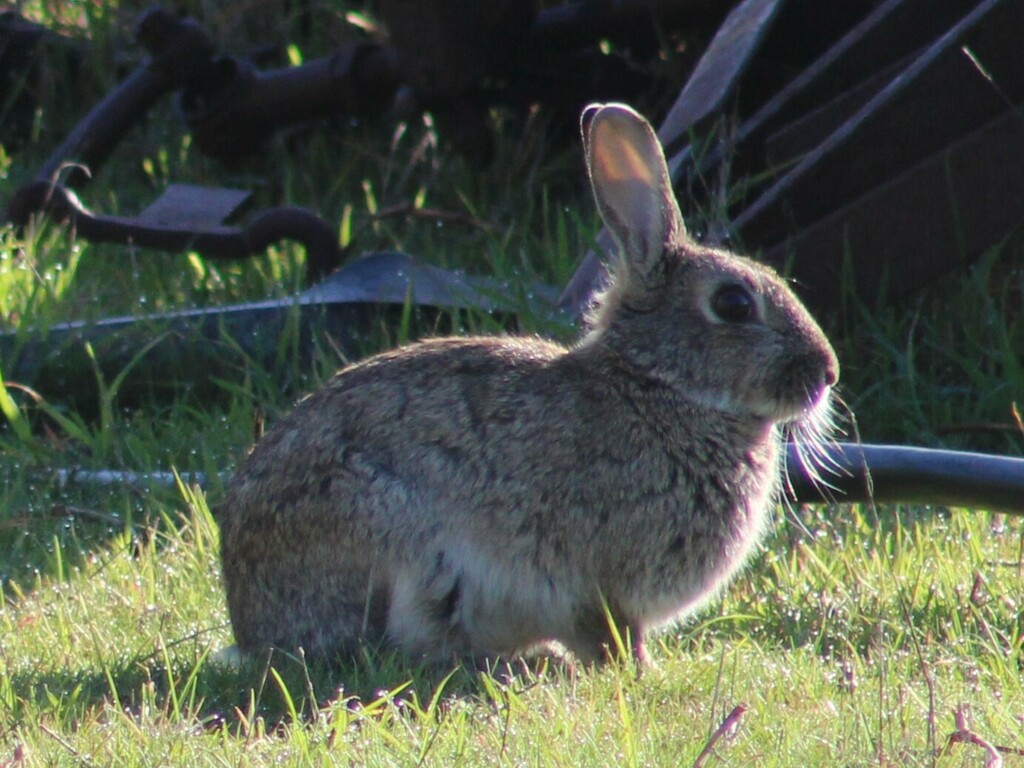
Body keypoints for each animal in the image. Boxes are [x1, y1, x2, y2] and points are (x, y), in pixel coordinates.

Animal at [217, 103, 840, 667]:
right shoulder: (599, 583)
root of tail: (251, 627)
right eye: (733, 304)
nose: (826, 372)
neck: (658, 384)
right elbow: (610, 634)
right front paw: (639, 672)